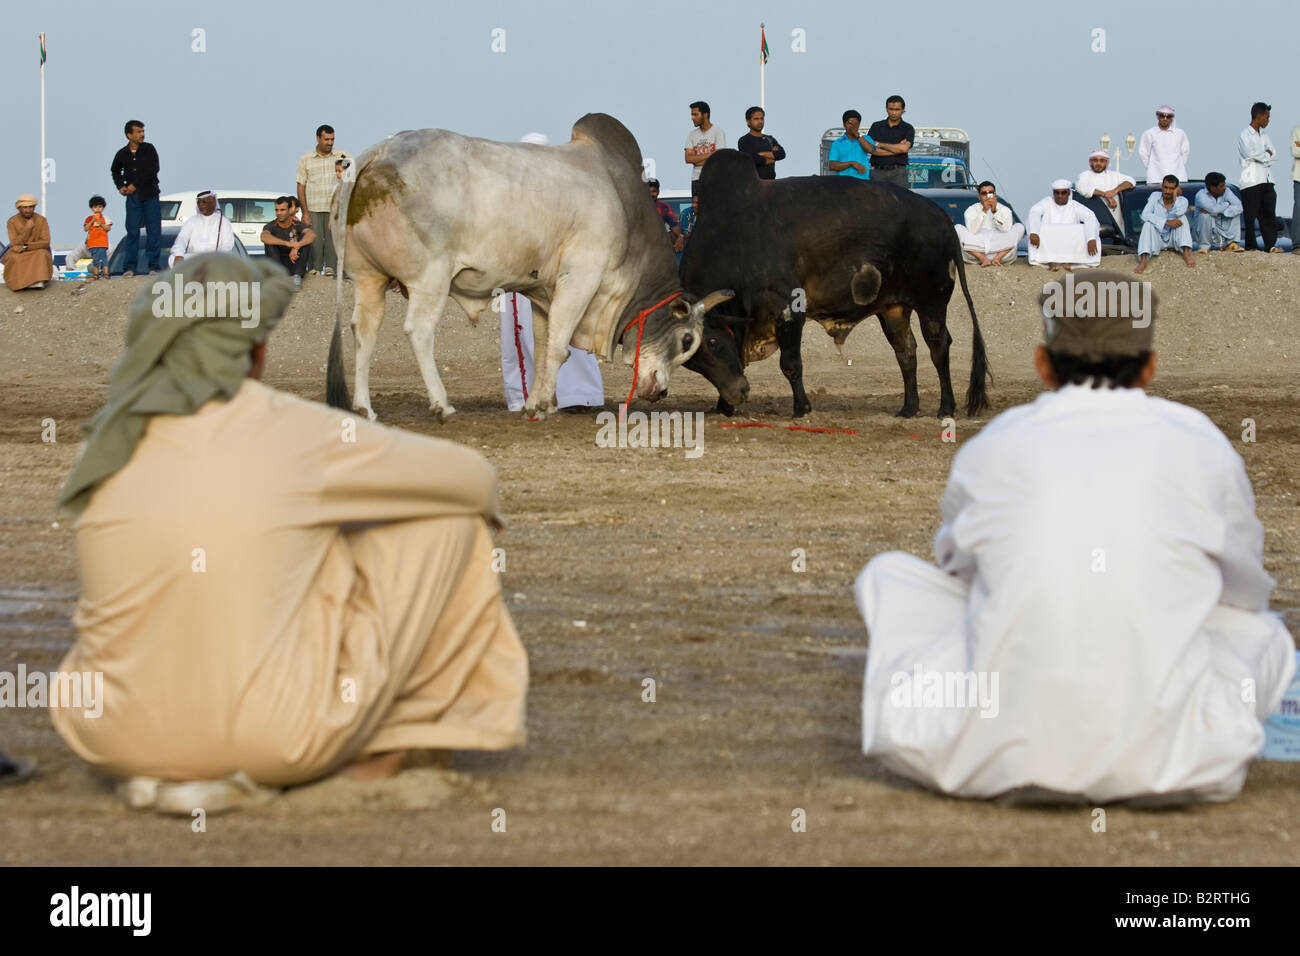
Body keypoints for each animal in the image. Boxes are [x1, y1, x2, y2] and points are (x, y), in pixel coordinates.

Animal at [326, 113, 734, 420]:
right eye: (688, 340)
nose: (660, 392)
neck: (625, 207)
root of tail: (378, 151)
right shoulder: (581, 278)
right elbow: (560, 347)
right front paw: (539, 405)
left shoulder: (543, 292)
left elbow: (543, 343)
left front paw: (542, 401)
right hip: (431, 278)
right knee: (419, 331)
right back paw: (441, 405)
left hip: (369, 278)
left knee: (364, 331)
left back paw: (364, 407)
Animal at [680, 150, 991, 419]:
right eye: (692, 360)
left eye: (712, 341)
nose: (735, 395)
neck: (733, 241)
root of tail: (940, 217)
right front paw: (723, 406)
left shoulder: (788, 308)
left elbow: (790, 364)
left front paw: (801, 408)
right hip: (894, 309)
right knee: (906, 351)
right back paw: (908, 408)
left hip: (932, 303)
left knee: (938, 347)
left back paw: (946, 407)